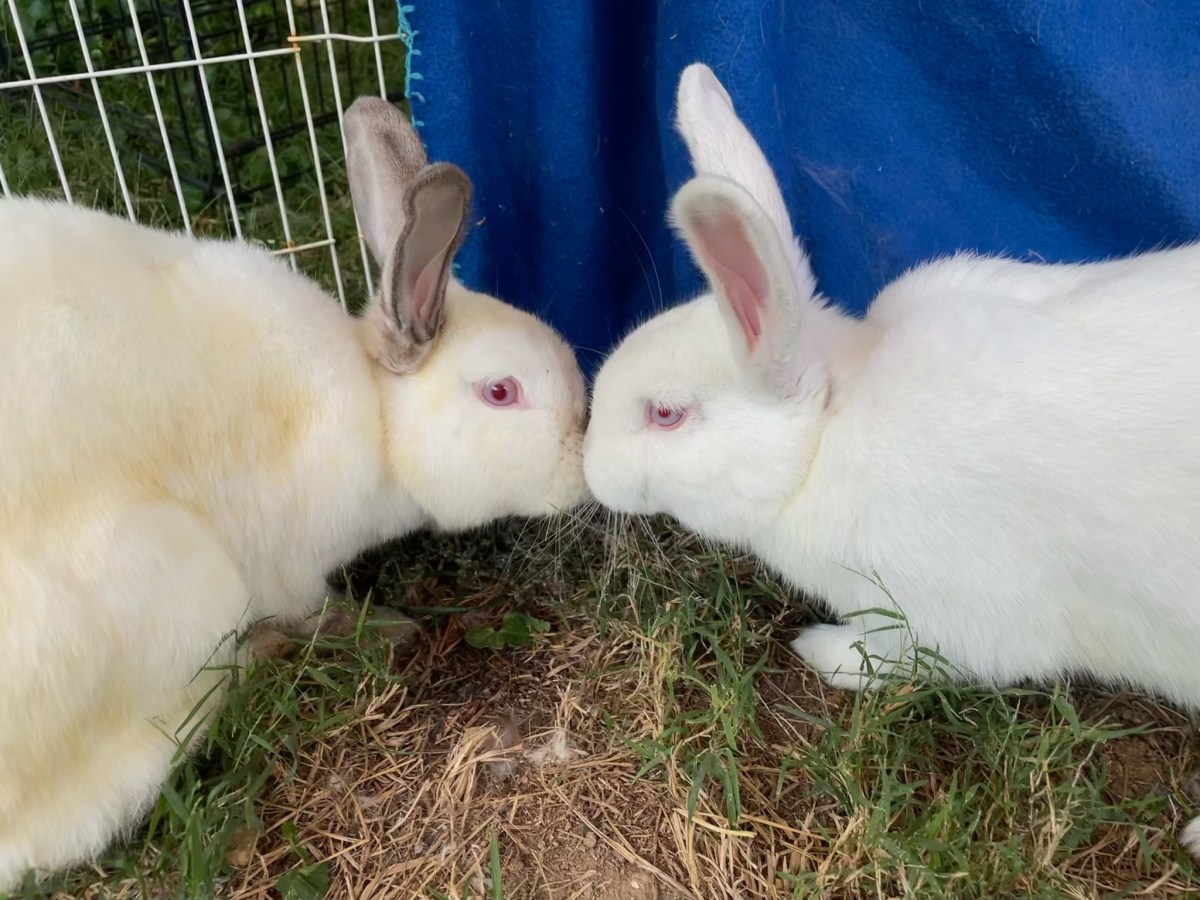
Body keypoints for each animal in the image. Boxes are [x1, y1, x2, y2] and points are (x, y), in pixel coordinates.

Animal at [0, 96, 587, 889]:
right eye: (501, 391)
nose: (585, 452)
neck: (377, 421)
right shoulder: (291, 567)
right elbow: (315, 607)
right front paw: (385, 626)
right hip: (185, 584)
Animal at [583, 63, 1200, 859]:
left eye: (666, 414)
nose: (586, 465)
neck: (827, 437)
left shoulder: (962, 620)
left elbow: (908, 657)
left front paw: (820, 651)